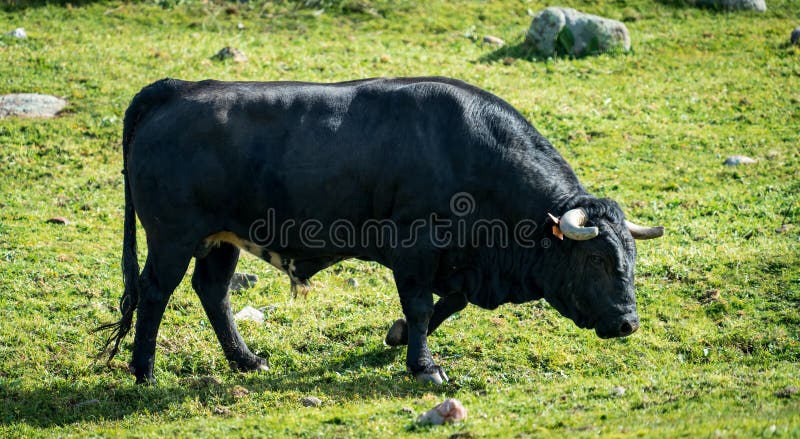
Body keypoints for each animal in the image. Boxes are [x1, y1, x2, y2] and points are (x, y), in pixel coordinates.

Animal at [96, 77, 664, 385]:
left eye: (631, 259)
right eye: (597, 259)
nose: (628, 323)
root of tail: (176, 90)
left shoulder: (455, 262)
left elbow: (448, 302)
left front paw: (396, 337)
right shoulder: (414, 248)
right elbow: (420, 306)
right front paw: (424, 366)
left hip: (221, 239)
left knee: (212, 291)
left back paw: (247, 360)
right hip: (172, 237)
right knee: (155, 292)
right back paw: (144, 370)